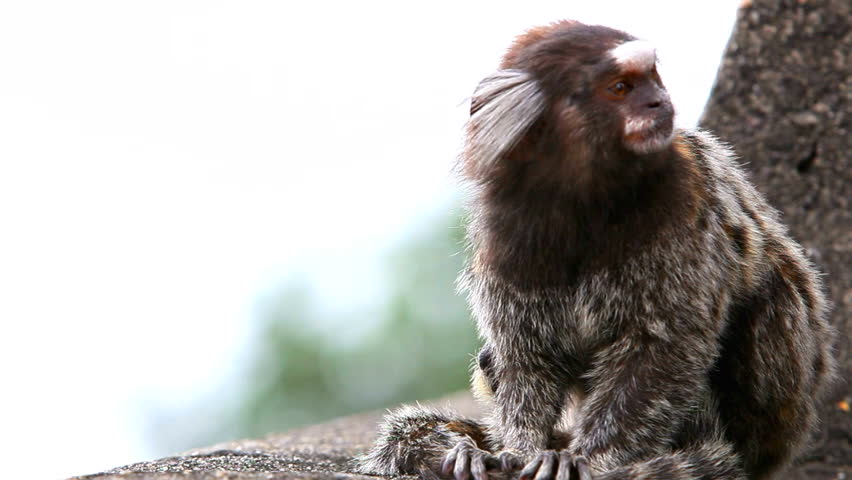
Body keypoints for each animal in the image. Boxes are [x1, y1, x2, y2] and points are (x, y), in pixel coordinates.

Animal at [357, 20, 836, 480]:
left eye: (652, 78)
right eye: (621, 87)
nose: (658, 101)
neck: (583, 199)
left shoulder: (686, 206)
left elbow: (663, 347)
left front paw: (585, 460)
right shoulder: (504, 235)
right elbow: (526, 356)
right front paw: (517, 449)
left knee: (770, 295)